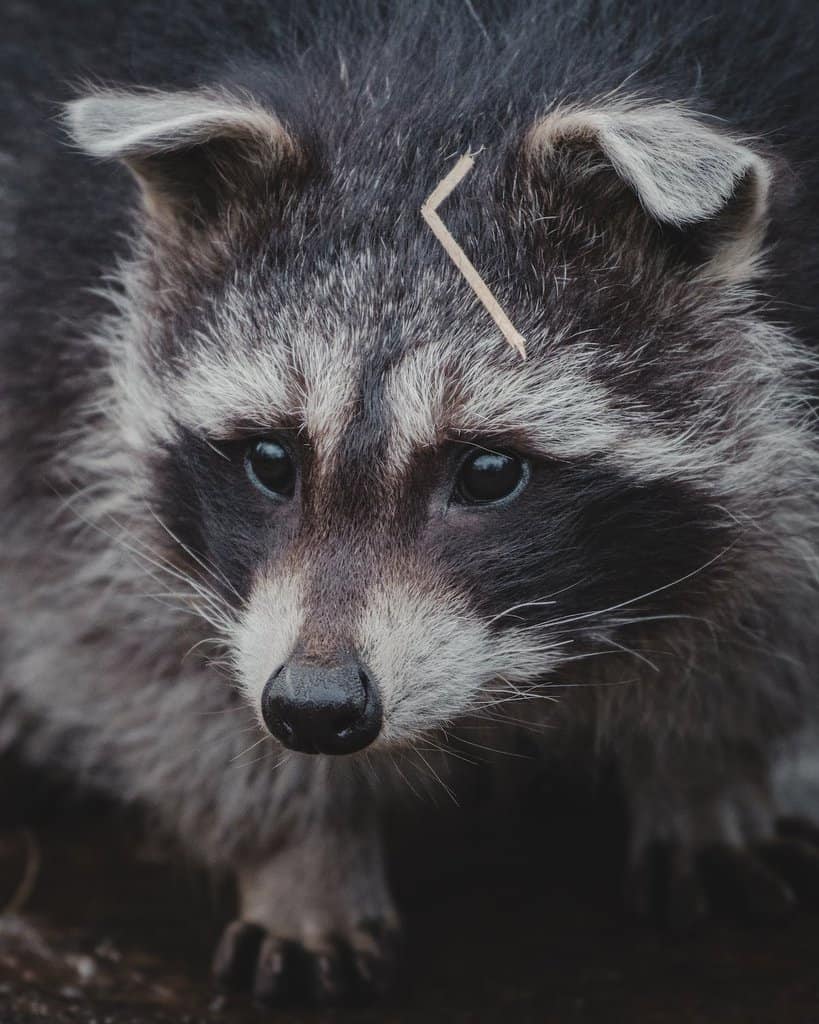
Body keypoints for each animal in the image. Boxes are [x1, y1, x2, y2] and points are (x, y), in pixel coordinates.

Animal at [2, 0, 819, 1005]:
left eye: (488, 473)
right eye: (270, 459)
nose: (313, 707)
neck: (450, 66)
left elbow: (765, 599)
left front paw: (705, 768)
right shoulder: (48, 285)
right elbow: (106, 618)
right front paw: (298, 849)